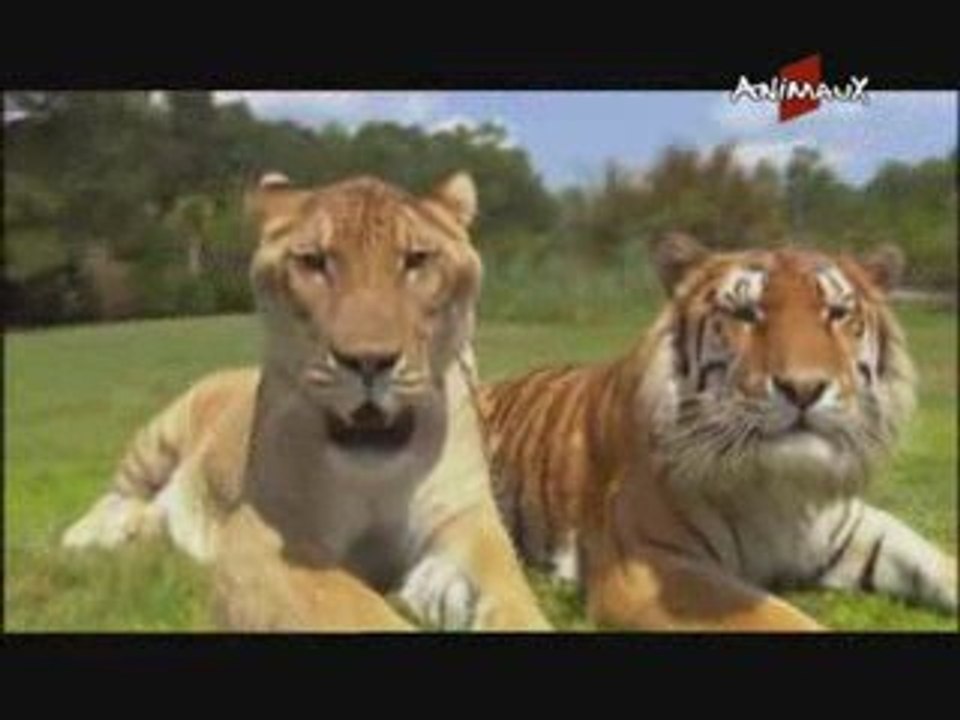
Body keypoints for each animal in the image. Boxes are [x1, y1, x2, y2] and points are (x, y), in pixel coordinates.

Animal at [62, 171, 550, 632]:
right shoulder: (260, 540)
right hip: (160, 435)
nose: (369, 360)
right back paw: (109, 532)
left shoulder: (468, 517)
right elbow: (351, 610)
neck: (375, 473)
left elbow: (510, 592)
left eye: (416, 260)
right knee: (113, 498)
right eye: (314, 262)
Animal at [480, 232, 957, 631]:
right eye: (745, 313)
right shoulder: (651, 565)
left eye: (837, 313)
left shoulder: (852, 525)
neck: (784, 489)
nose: (803, 388)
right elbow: (783, 622)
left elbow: (935, 560)